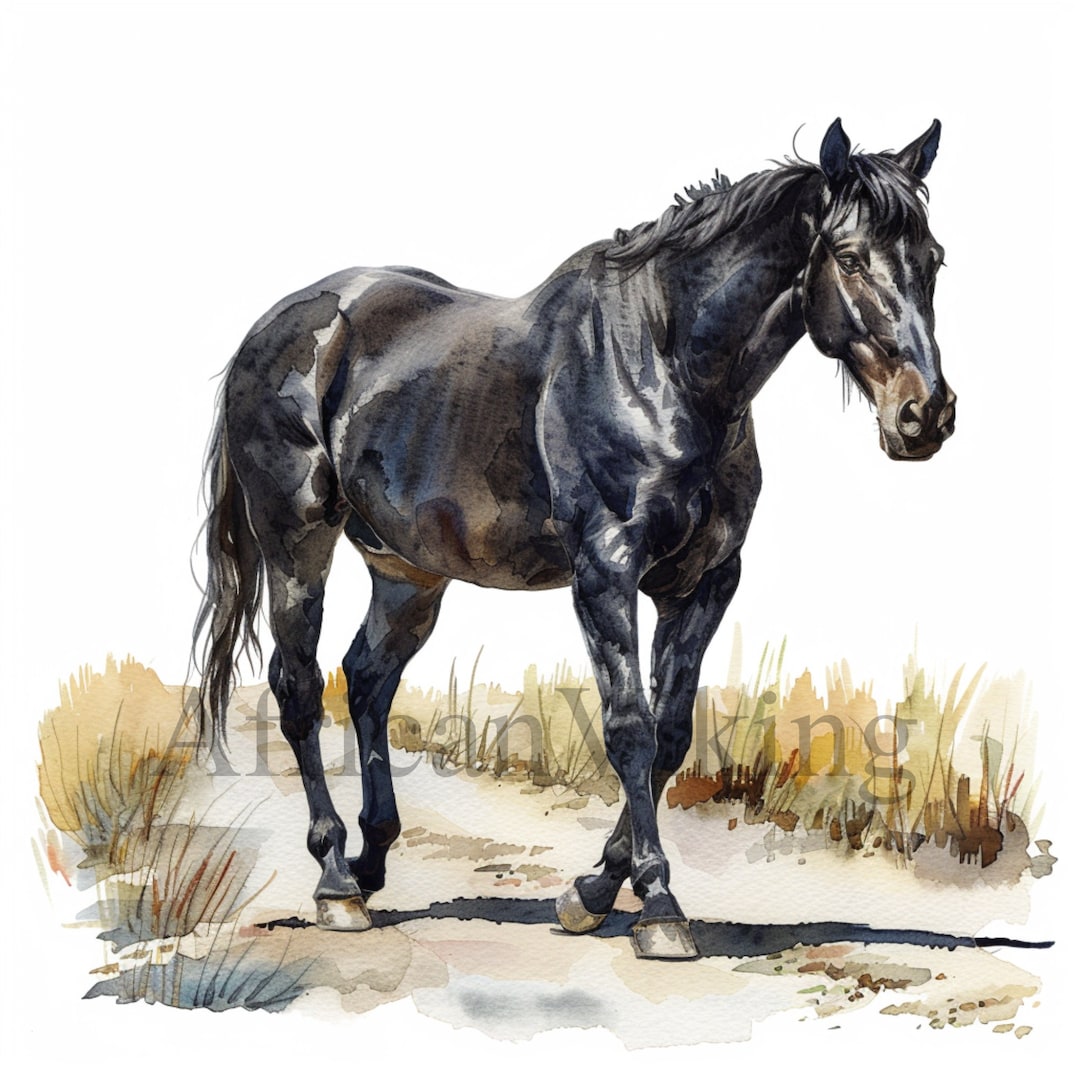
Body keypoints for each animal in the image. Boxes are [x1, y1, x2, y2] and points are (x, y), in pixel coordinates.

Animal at [194, 119, 953, 959]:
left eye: (932, 260)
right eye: (848, 258)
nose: (926, 415)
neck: (662, 366)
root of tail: (280, 326)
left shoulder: (705, 582)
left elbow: (671, 733)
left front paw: (591, 892)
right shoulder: (605, 574)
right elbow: (629, 731)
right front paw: (657, 906)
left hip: (408, 572)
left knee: (365, 680)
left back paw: (371, 862)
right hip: (297, 544)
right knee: (298, 689)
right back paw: (335, 884)